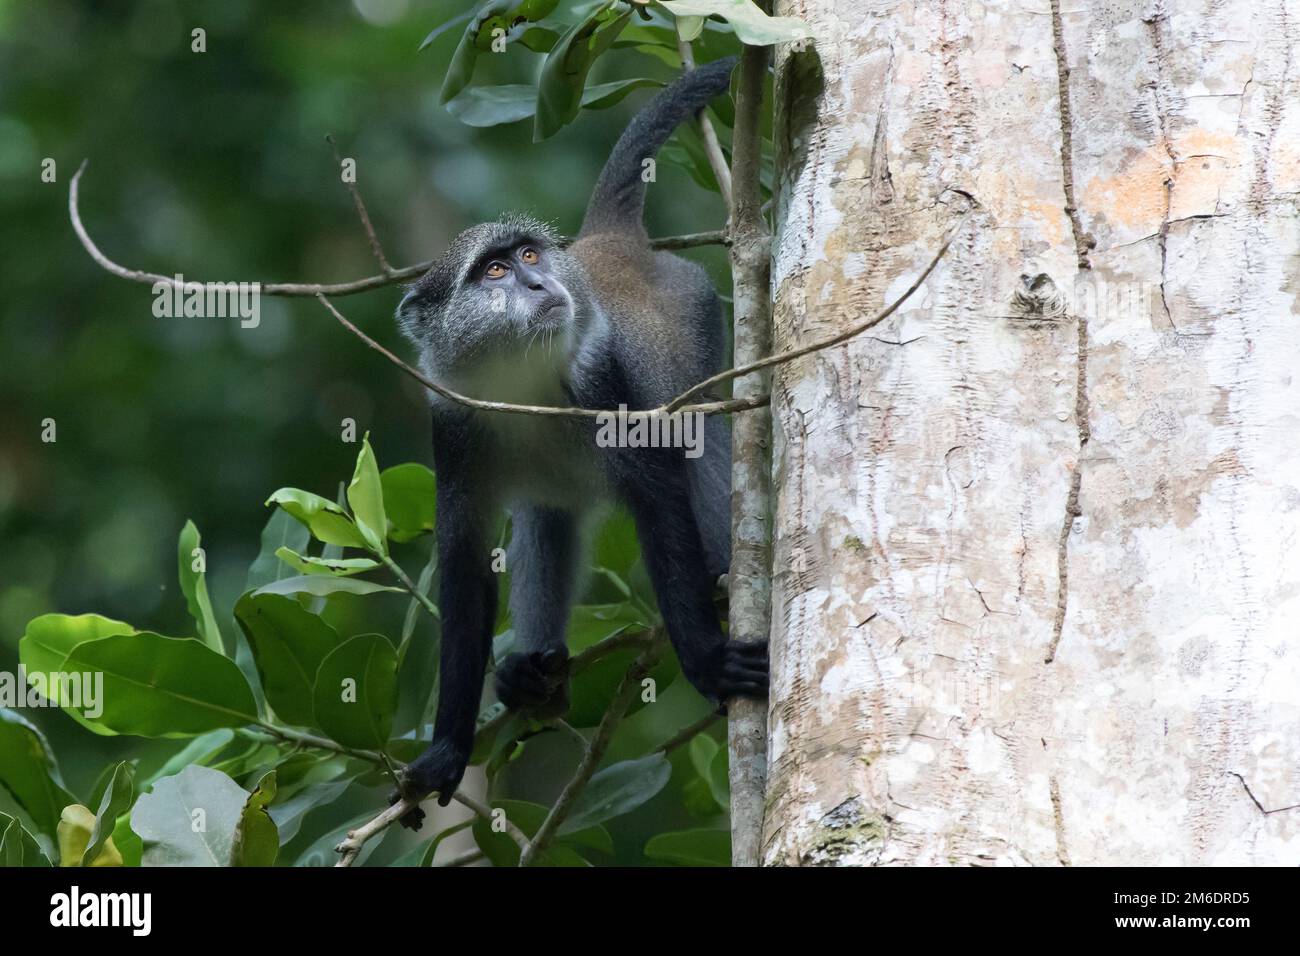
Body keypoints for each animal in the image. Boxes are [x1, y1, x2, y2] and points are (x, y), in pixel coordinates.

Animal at [393, 56, 765, 826]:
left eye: (531, 255)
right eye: (495, 271)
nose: (540, 283)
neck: (519, 375)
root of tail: (609, 244)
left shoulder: (603, 378)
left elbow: (659, 495)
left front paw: (707, 660)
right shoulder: (450, 419)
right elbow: (465, 560)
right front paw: (448, 746)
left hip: (697, 314)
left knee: (701, 445)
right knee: (548, 515)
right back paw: (536, 678)